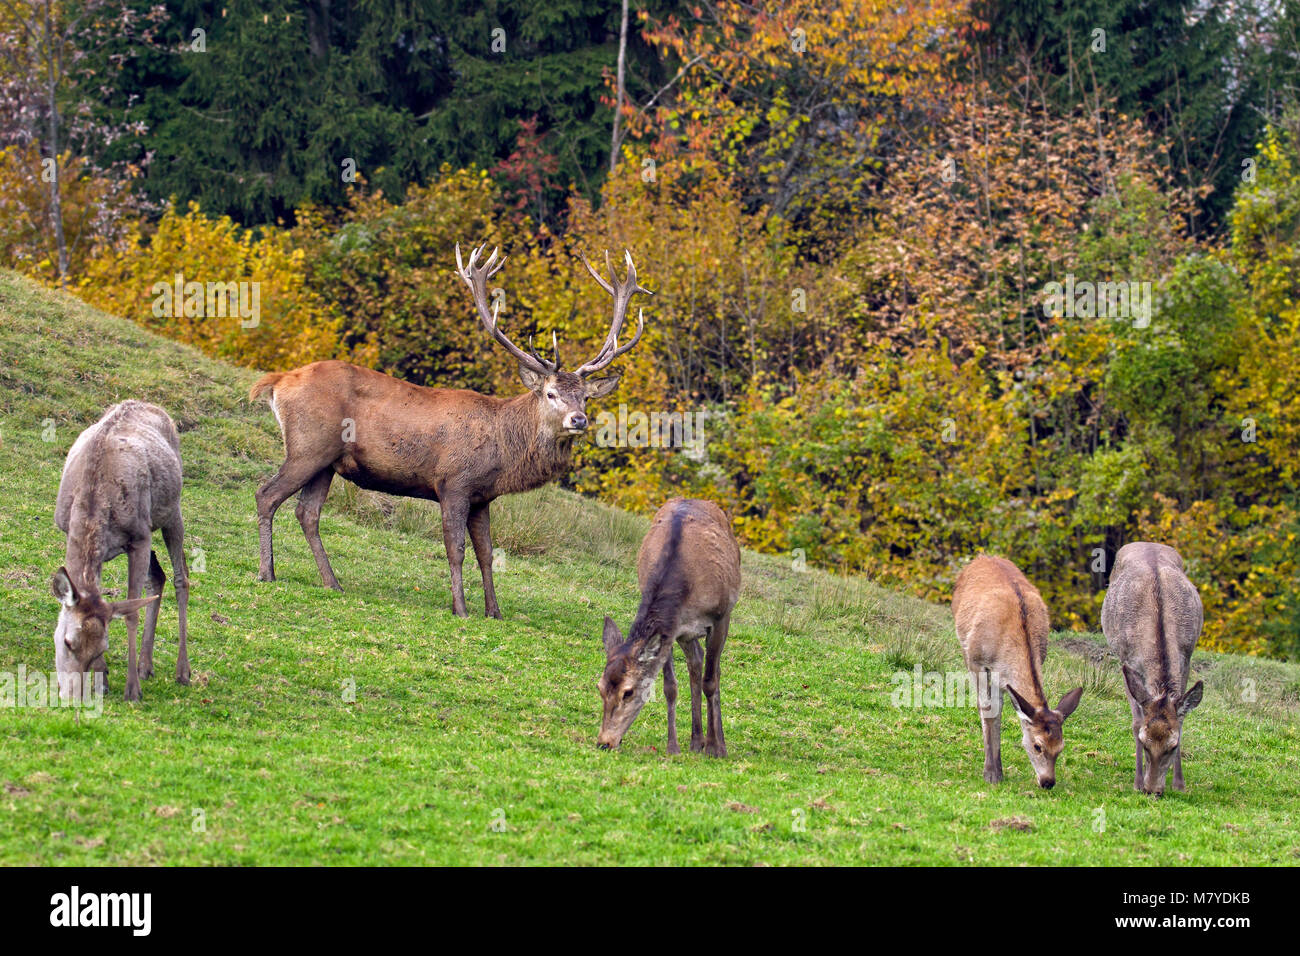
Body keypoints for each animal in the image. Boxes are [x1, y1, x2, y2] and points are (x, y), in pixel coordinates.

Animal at [50, 401, 191, 703]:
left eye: (102, 648)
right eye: (67, 642)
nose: (72, 696)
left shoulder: (139, 536)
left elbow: (130, 612)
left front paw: (131, 690)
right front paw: (103, 681)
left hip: (170, 511)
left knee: (181, 577)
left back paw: (182, 671)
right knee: (157, 576)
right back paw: (145, 666)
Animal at [249, 243, 652, 618]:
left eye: (586, 397)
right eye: (551, 393)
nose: (578, 420)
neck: (503, 449)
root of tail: (278, 382)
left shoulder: (483, 496)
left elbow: (486, 553)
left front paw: (494, 611)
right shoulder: (453, 482)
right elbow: (455, 549)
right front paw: (460, 608)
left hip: (327, 463)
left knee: (307, 513)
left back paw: (332, 582)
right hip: (307, 446)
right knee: (267, 494)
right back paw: (267, 572)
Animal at [596, 498, 741, 756]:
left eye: (628, 692)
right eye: (600, 687)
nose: (604, 742)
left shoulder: (720, 616)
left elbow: (711, 682)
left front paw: (715, 748)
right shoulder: (671, 630)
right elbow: (669, 686)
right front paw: (673, 746)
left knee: (714, 671)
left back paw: (715, 743)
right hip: (686, 634)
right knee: (696, 661)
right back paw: (695, 740)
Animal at [952, 555, 1083, 788]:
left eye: (1061, 747)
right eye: (1037, 745)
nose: (1048, 782)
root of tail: (982, 557)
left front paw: (998, 770)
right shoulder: (978, 662)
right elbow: (988, 710)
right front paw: (991, 774)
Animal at [1101, 542, 1205, 796]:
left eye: (1173, 745)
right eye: (1144, 741)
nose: (1152, 790)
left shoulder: (1187, 656)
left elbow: (1182, 718)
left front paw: (1179, 784)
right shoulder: (1128, 661)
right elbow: (1137, 720)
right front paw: (1137, 781)